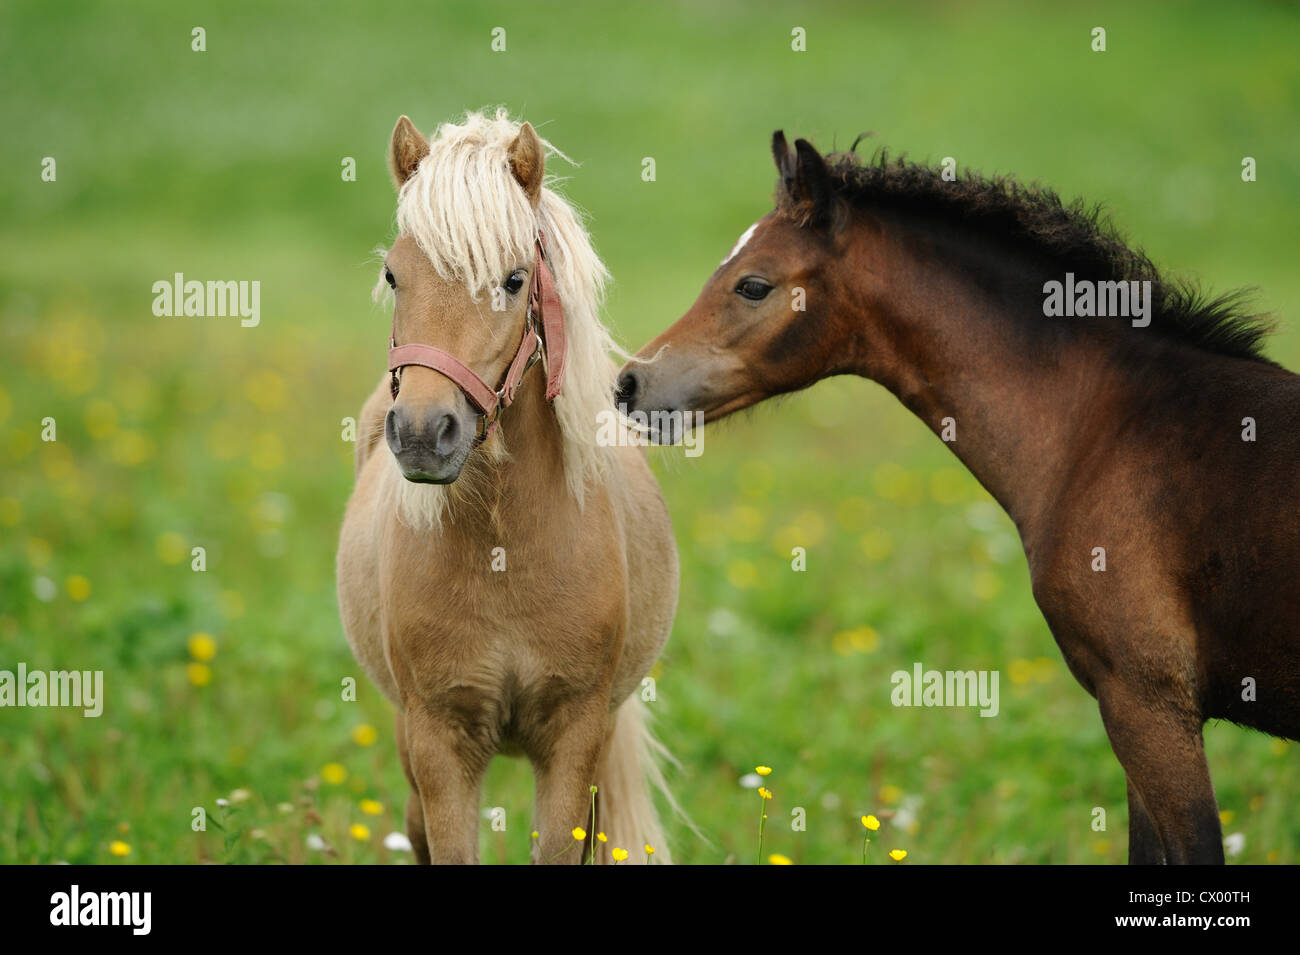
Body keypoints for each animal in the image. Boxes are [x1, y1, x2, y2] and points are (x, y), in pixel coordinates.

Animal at [337, 110, 679, 864]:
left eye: (516, 279)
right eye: (393, 274)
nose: (422, 431)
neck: (504, 549)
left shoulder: (576, 736)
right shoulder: (439, 741)